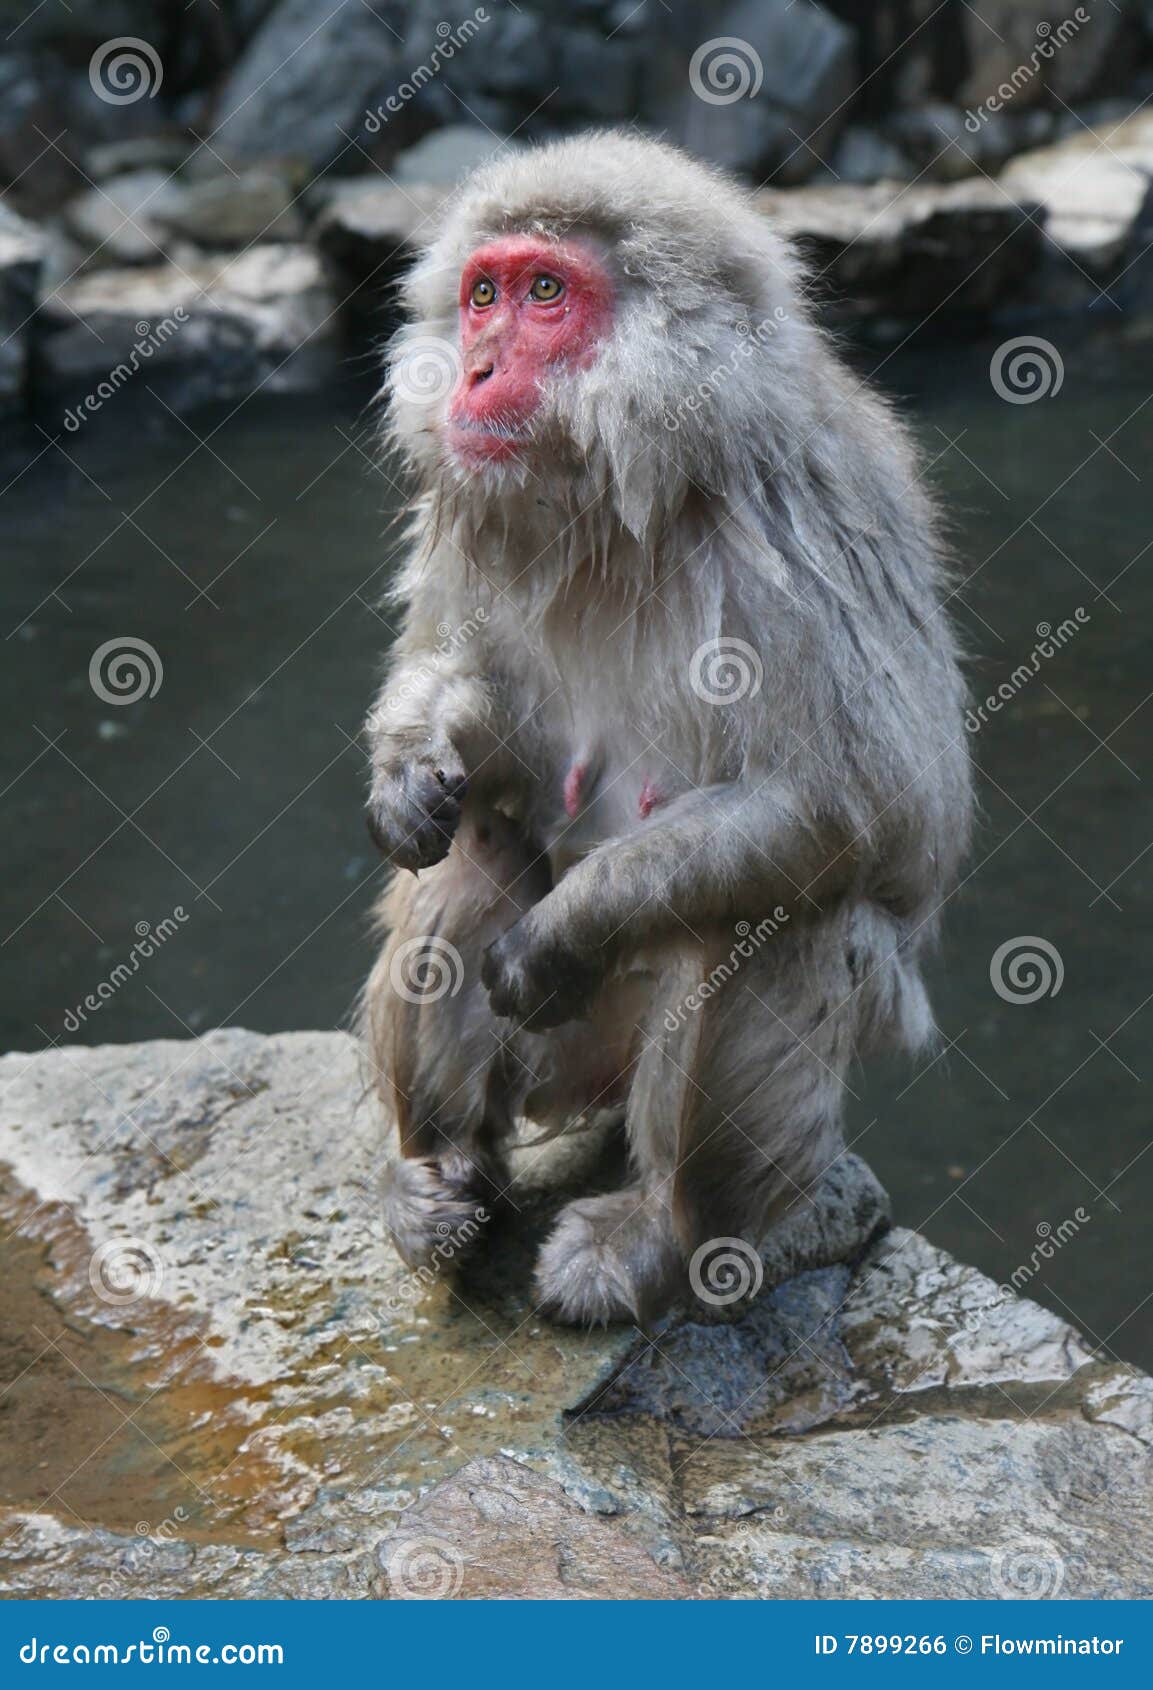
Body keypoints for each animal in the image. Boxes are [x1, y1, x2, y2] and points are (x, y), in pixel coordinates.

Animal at [360, 130, 973, 1328]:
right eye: (483, 293)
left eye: (547, 294)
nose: (475, 370)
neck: (614, 495)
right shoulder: (476, 504)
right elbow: (456, 686)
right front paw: (408, 769)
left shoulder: (798, 522)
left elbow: (857, 810)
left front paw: (562, 930)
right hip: (550, 1068)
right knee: (477, 843)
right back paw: (438, 1175)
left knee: (780, 920)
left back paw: (662, 1238)